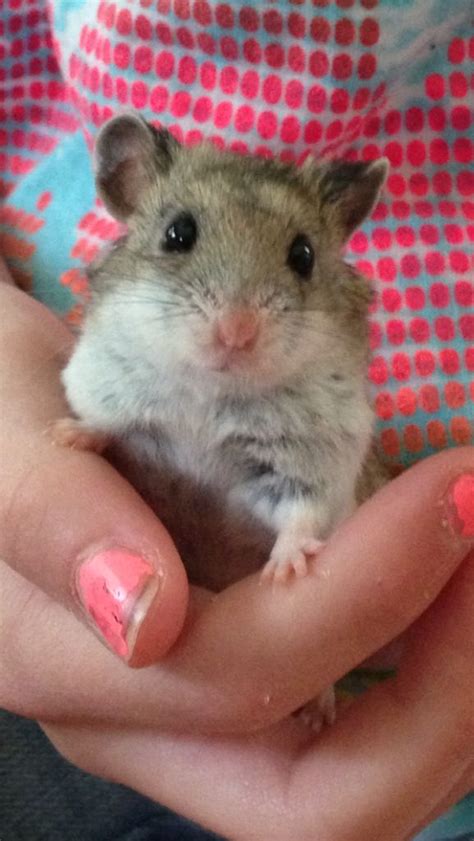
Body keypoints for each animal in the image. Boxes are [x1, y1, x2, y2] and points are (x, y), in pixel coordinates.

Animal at [54, 113, 389, 726]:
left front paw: (286, 571)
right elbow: (105, 423)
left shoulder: (311, 464)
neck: (213, 395)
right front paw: (65, 436)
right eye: (178, 234)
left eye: (303, 255)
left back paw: (317, 712)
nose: (237, 332)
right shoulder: (106, 386)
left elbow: (301, 515)